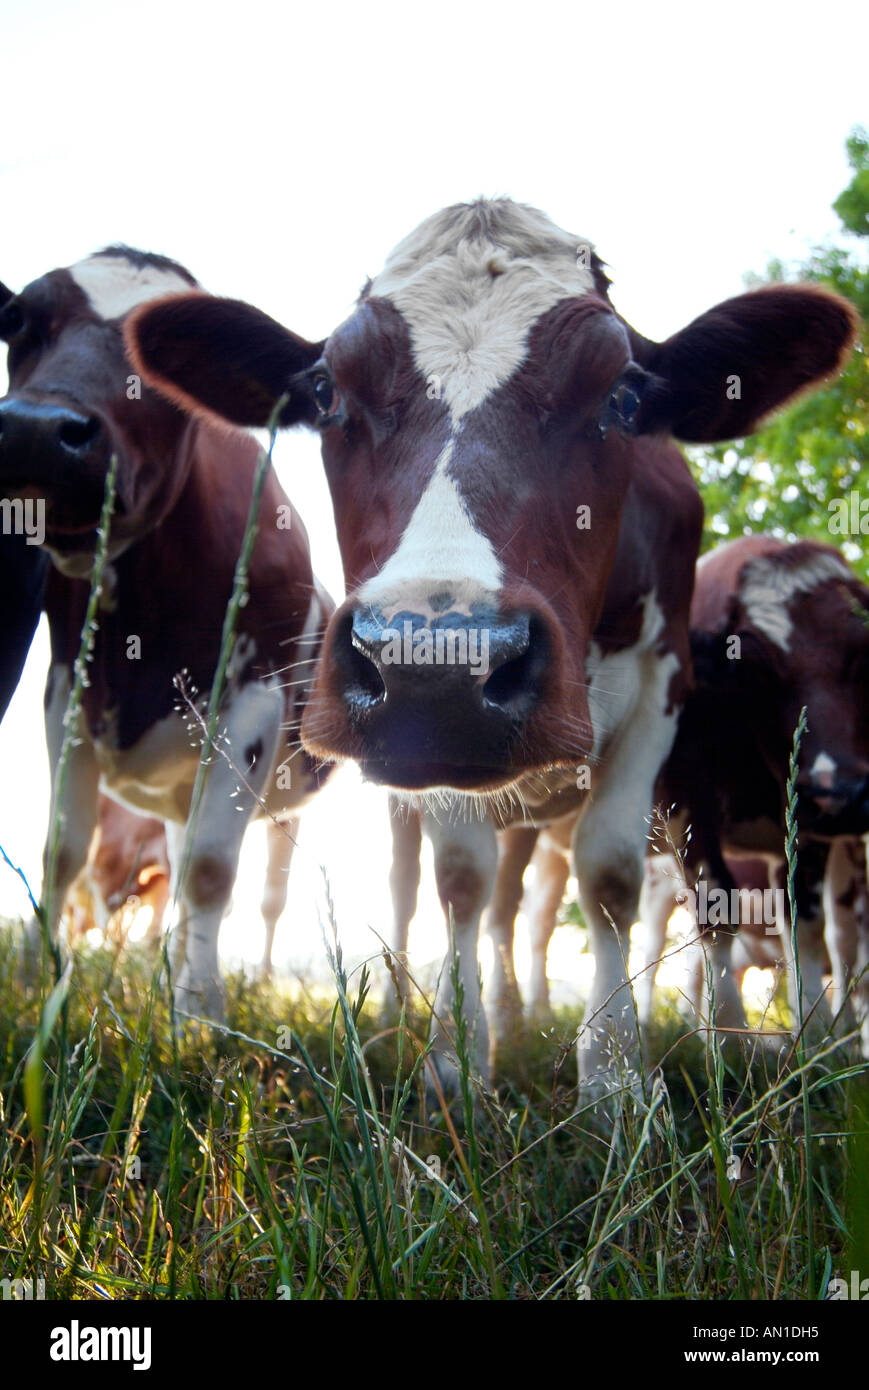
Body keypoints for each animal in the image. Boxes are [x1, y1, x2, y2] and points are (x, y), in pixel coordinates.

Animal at [0, 248, 332, 1017]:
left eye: (165, 359)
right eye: (16, 319)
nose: (35, 429)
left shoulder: (252, 702)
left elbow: (212, 872)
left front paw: (200, 1013)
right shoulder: (67, 689)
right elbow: (61, 851)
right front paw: (35, 974)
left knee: (264, 896)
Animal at [125, 198, 856, 1096]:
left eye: (622, 395)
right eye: (327, 390)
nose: (435, 659)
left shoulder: (663, 696)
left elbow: (608, 875)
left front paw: (615, 1076)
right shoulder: (431, 745)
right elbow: (458, 881)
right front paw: (453, 1057)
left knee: (520, 905)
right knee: (425, 891)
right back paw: (427, 1011)